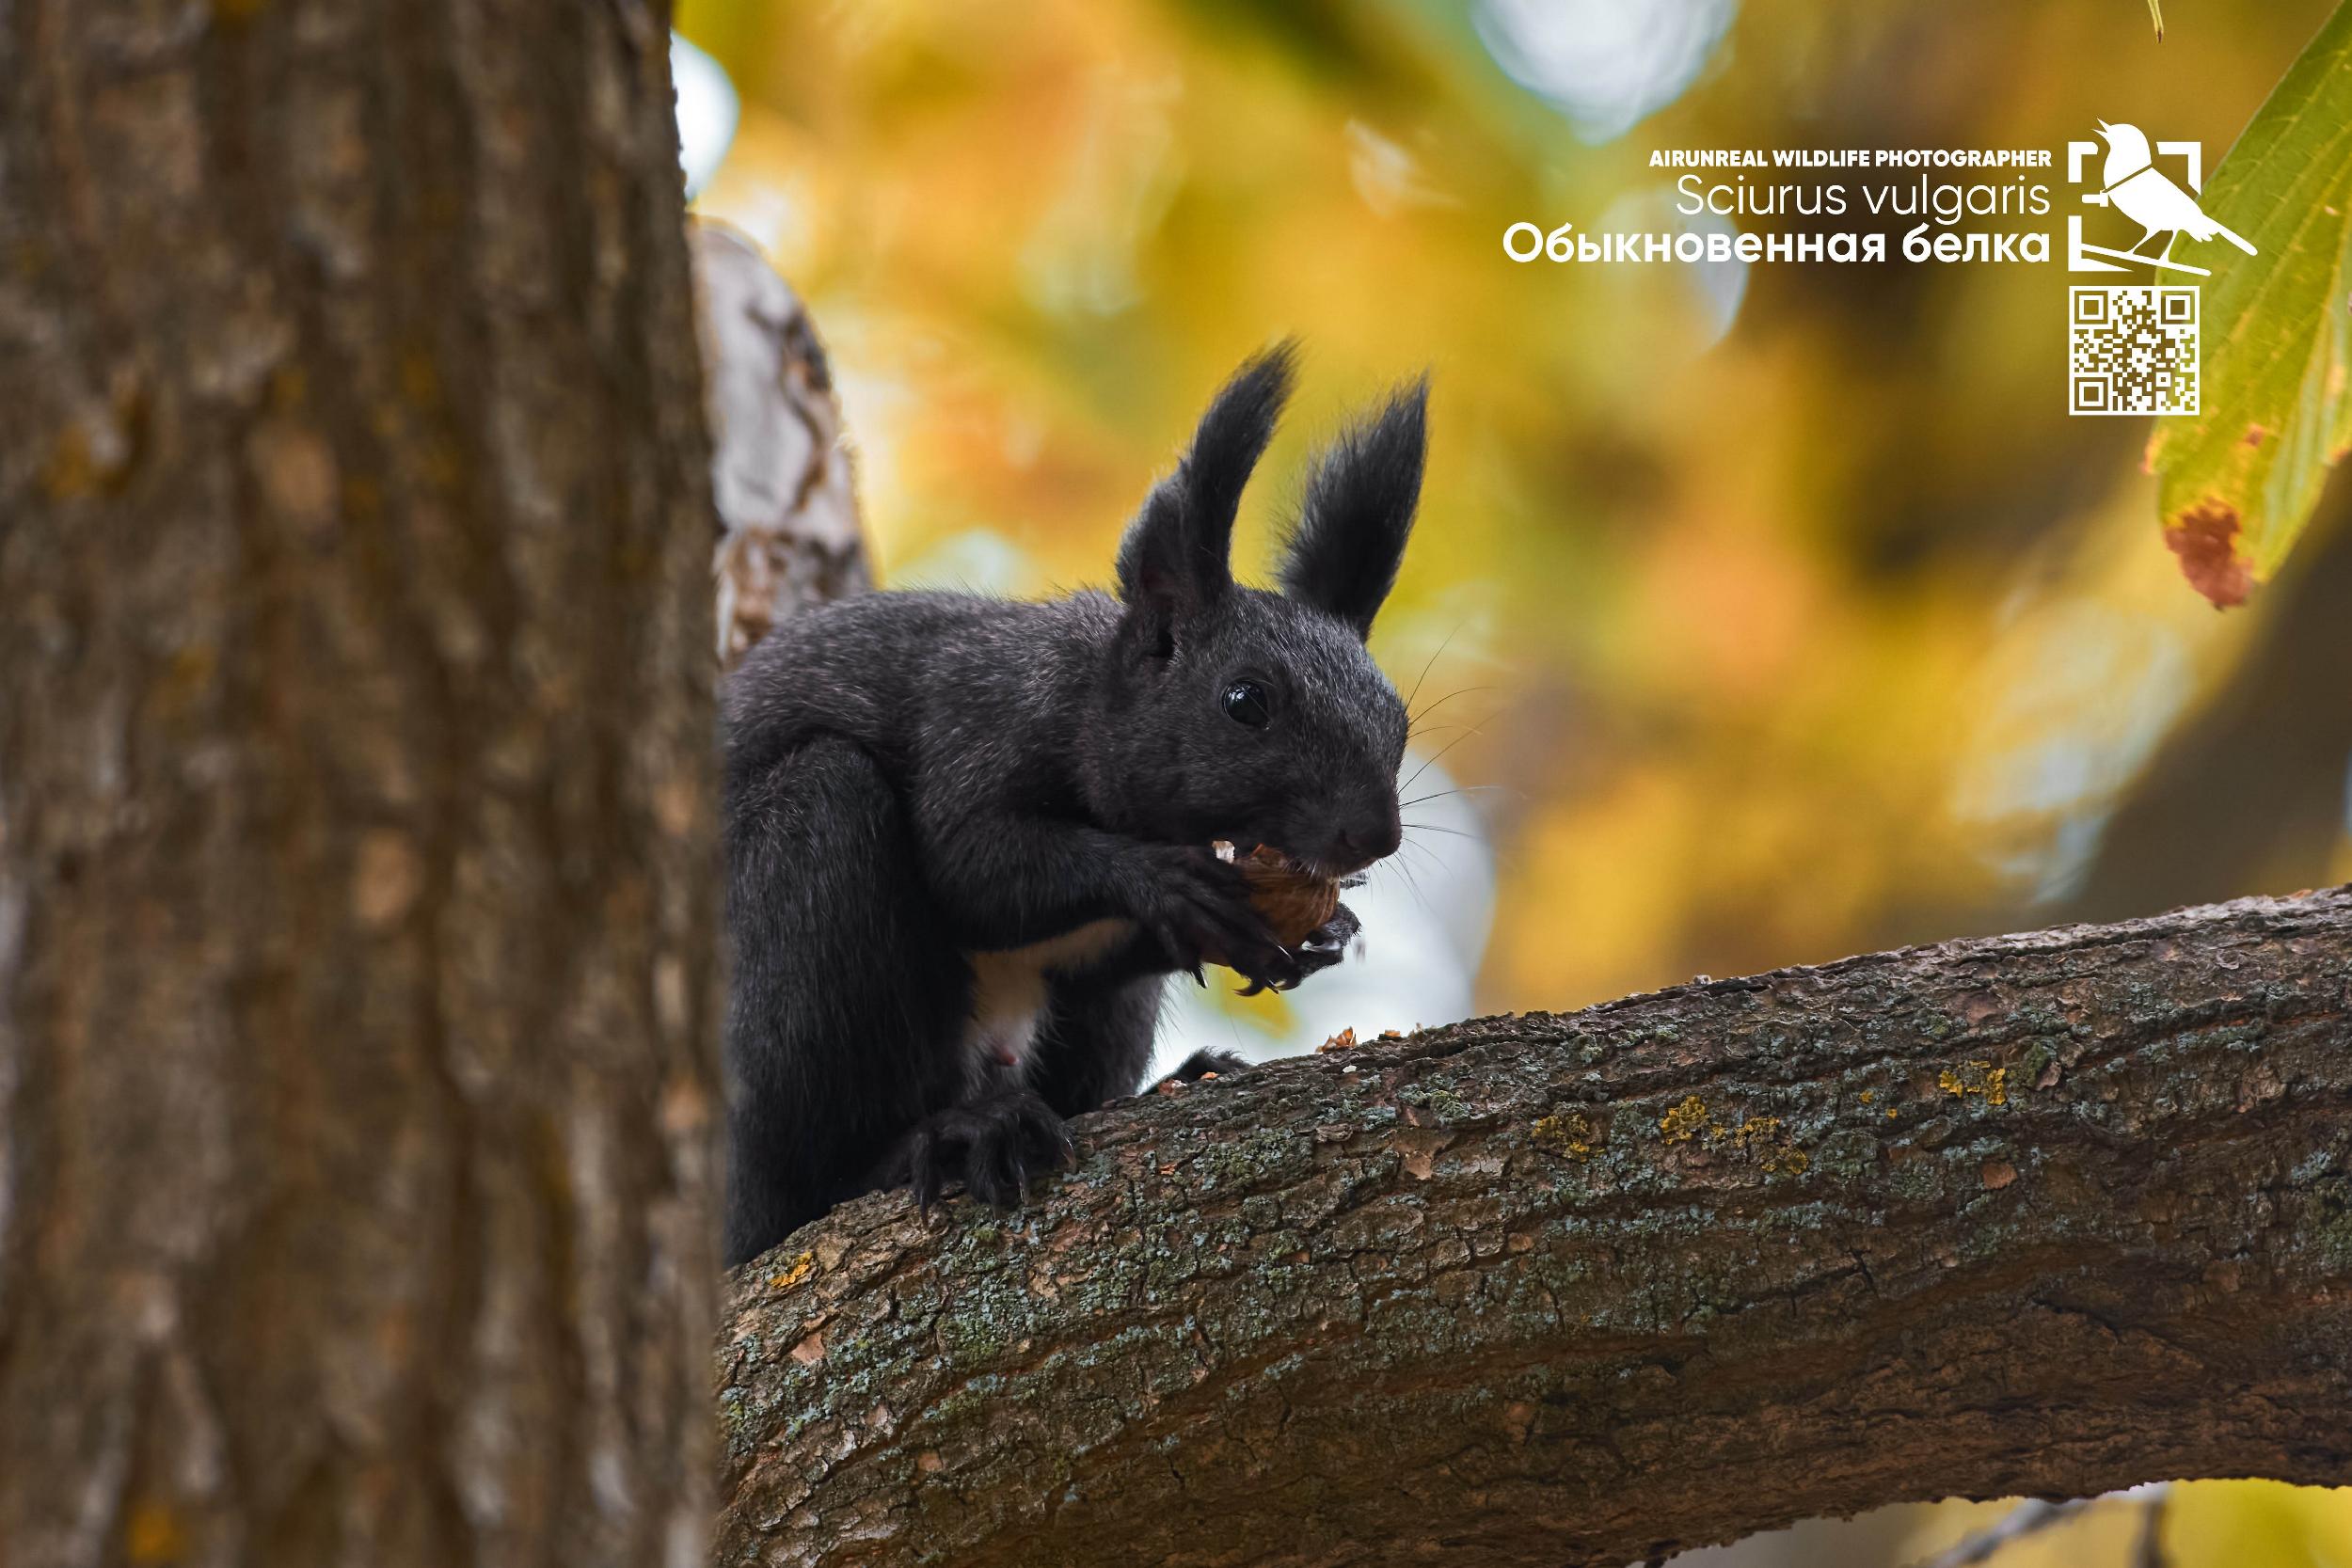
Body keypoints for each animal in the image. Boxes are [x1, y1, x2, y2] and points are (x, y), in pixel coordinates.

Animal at [719, 344, 1426, 1266]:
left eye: (1399, 719)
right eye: (1245, 702)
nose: (1374, 834)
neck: (1086, 689)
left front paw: (1322, 931)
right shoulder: (975, 723)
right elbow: (970, 869)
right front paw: (1165, 883)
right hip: (798, 882)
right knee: (797, 1181)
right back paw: (929, 1143)